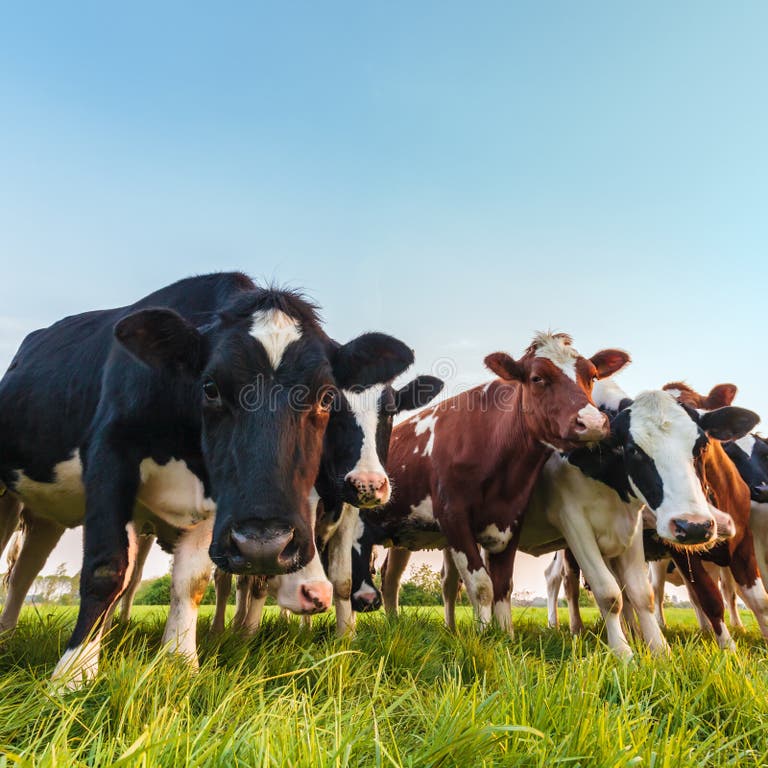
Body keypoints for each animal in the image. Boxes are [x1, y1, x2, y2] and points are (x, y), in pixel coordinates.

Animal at [0, 272, 414, 686]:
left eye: (325, 396)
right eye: (210, 387)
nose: (265, 544)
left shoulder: (221, 503)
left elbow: (192, 580)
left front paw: (180, 662)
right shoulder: (110, 454)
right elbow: (106, 567)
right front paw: (73, 675)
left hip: (47, 516)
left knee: (24, 571)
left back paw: (7, 634)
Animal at [210, 375, 444, 636]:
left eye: (391, 411)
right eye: (329, 404)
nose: (368, 484)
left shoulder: (348, 513)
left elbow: (342, 581)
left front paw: (345, 638)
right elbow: (261, 579)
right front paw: (248, 636)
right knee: (227, 578)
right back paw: (223, 629)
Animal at [357, 332, 631, 632]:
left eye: (592, 376)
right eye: (537, 378)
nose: (592, 423)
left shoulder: (510, 520)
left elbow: (503, 585)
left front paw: (505, 635)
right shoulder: (453, 517)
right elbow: (481, 586)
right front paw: (482, 635)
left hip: (404, 530)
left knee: (390, 576)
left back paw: (394, 624)